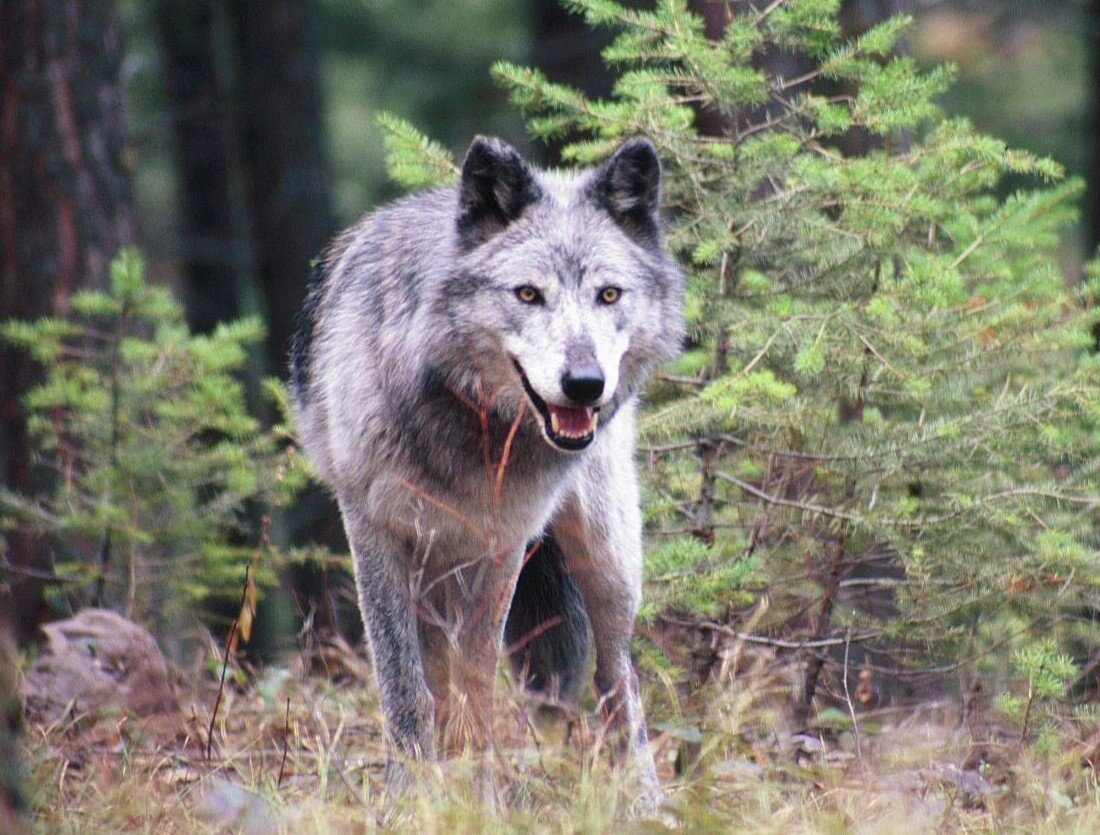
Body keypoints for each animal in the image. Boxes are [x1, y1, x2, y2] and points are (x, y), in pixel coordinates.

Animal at [290, 135, 686, 796]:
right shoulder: (376, 533)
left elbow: (476, 685)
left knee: (617, 678)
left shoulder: (504, 543)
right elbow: (406, 686)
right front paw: (411, 795)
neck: (467, 421)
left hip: (606, 560)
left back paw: (644, 800)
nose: (585, 384)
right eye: (528, 294)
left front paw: (478, 794)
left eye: (608, 294)